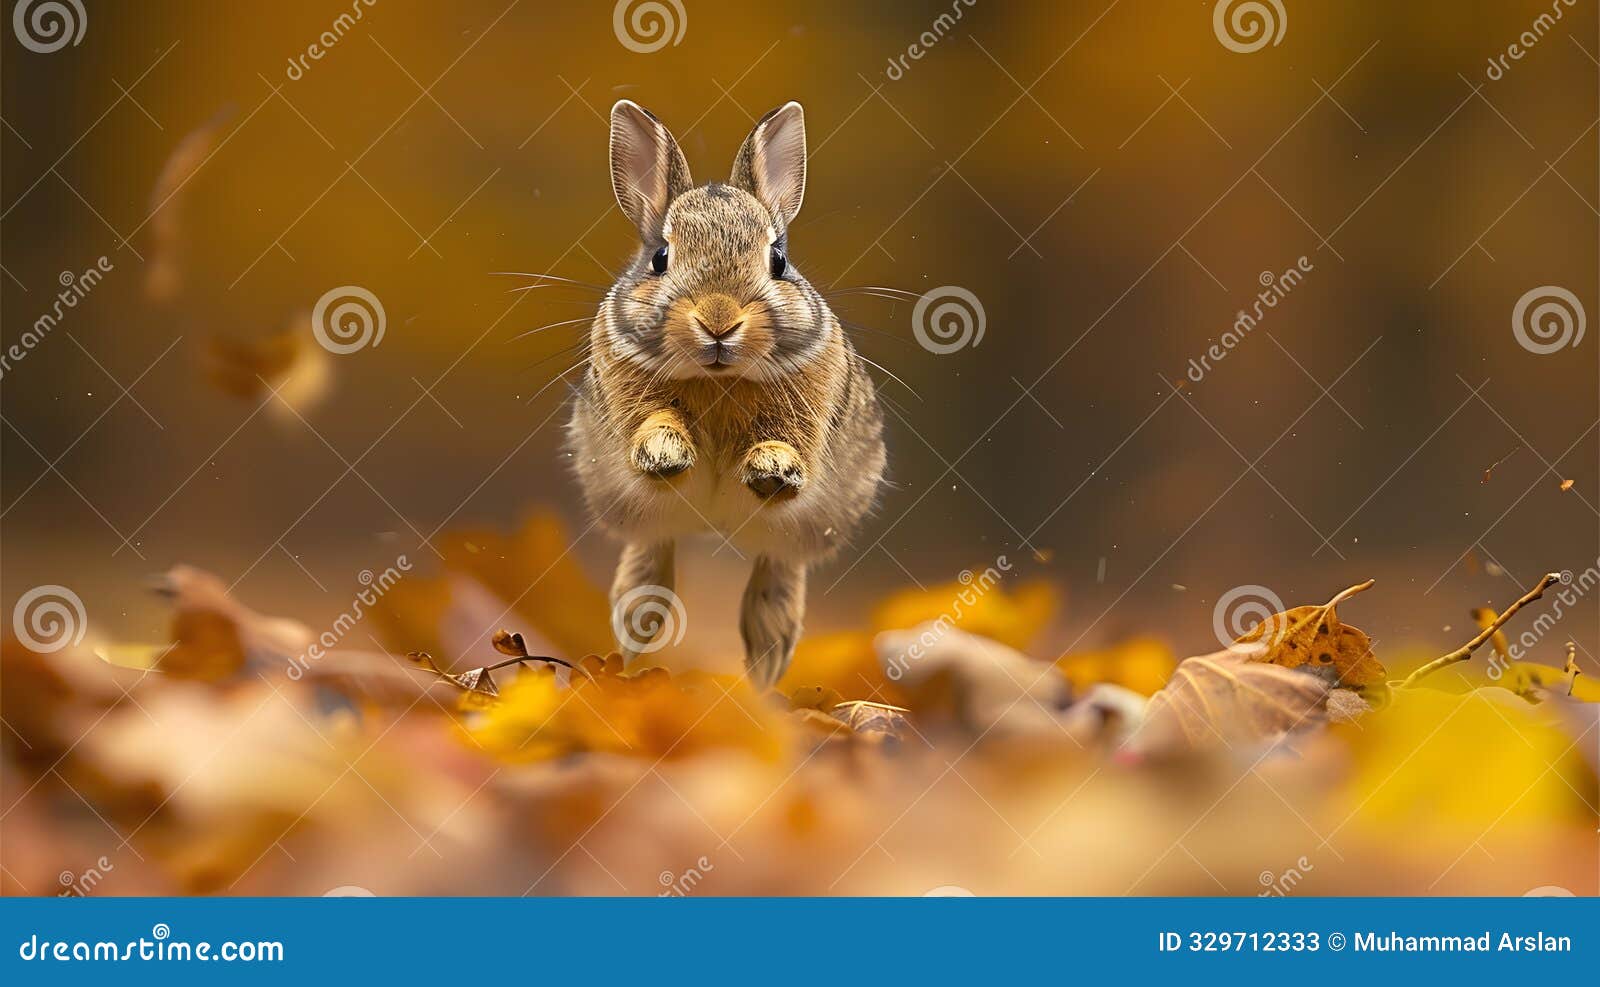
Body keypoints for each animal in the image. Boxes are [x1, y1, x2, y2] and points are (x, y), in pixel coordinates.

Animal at [566, 99, 886, 689]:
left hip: (786, 552)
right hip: (649, 536)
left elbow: (788, 441)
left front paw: (772, 469)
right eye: (660, 257)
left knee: (769, 616)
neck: (717, 377)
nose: (719, 320)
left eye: (777, 260)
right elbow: (651, 423)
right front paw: (666, 452)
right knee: (642, 600)